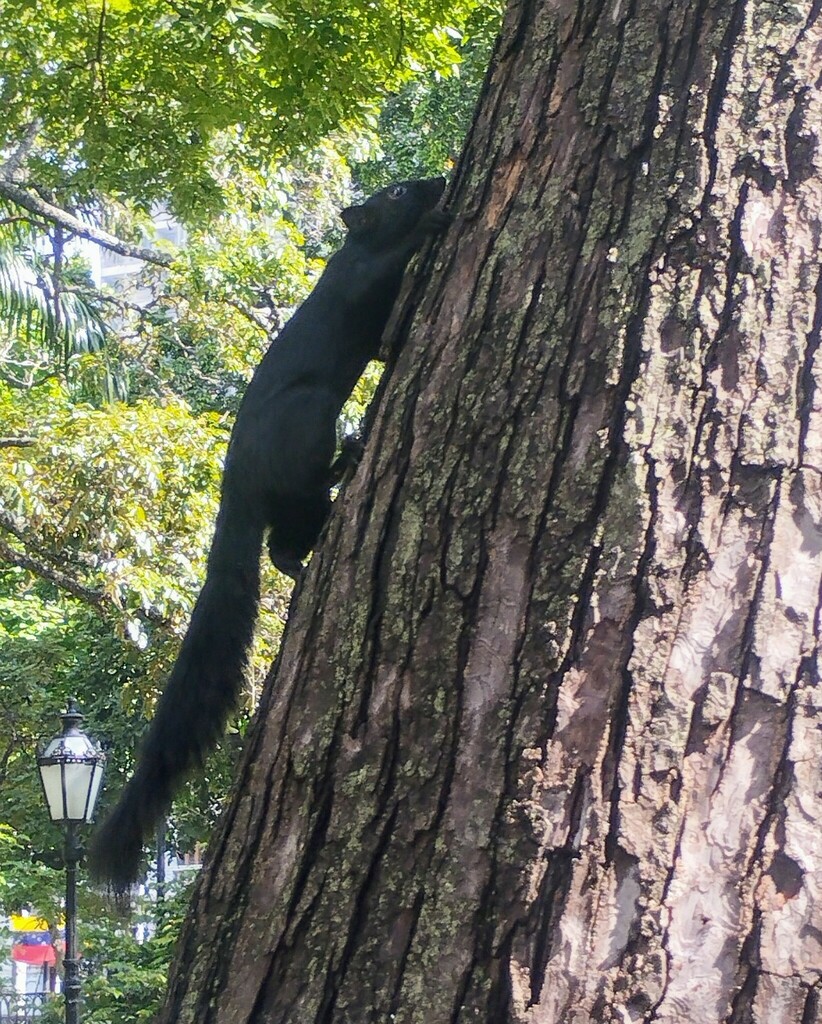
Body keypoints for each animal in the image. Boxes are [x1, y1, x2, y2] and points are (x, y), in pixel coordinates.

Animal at [89, 177, 449, 889]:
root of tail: (239, 485)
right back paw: (347, 457)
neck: (356, 248)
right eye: (397, 192)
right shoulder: (366, 284)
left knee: (286, 543)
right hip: (309, 423)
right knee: (290, 534)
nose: (438, 185)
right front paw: (436, 225)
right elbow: (395, 277)